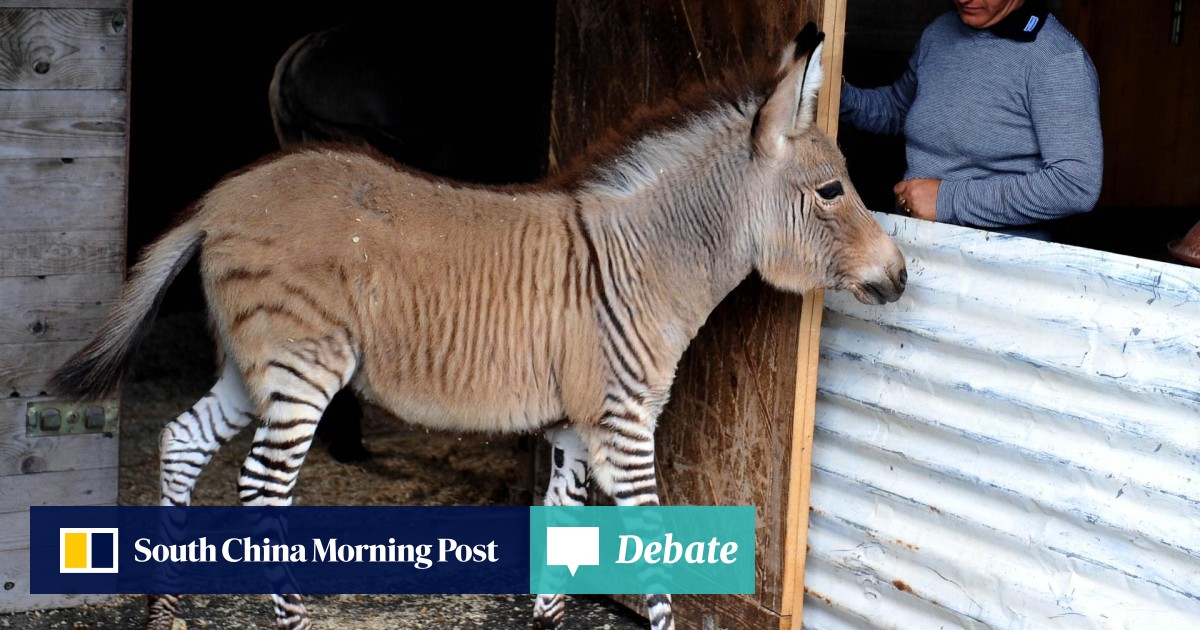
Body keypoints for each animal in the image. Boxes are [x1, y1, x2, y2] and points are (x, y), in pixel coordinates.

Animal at [51, 23, 906, 630]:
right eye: (833, 190)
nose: (901, 276)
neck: (646, 261)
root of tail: (222, 197)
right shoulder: (625, 425)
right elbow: (656, 566)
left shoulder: (571, 427)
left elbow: (561, 539)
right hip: (301, 363)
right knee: (263, 486)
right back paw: (288, 619)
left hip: (252, 362)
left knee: (182, 440)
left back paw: (165, 612)